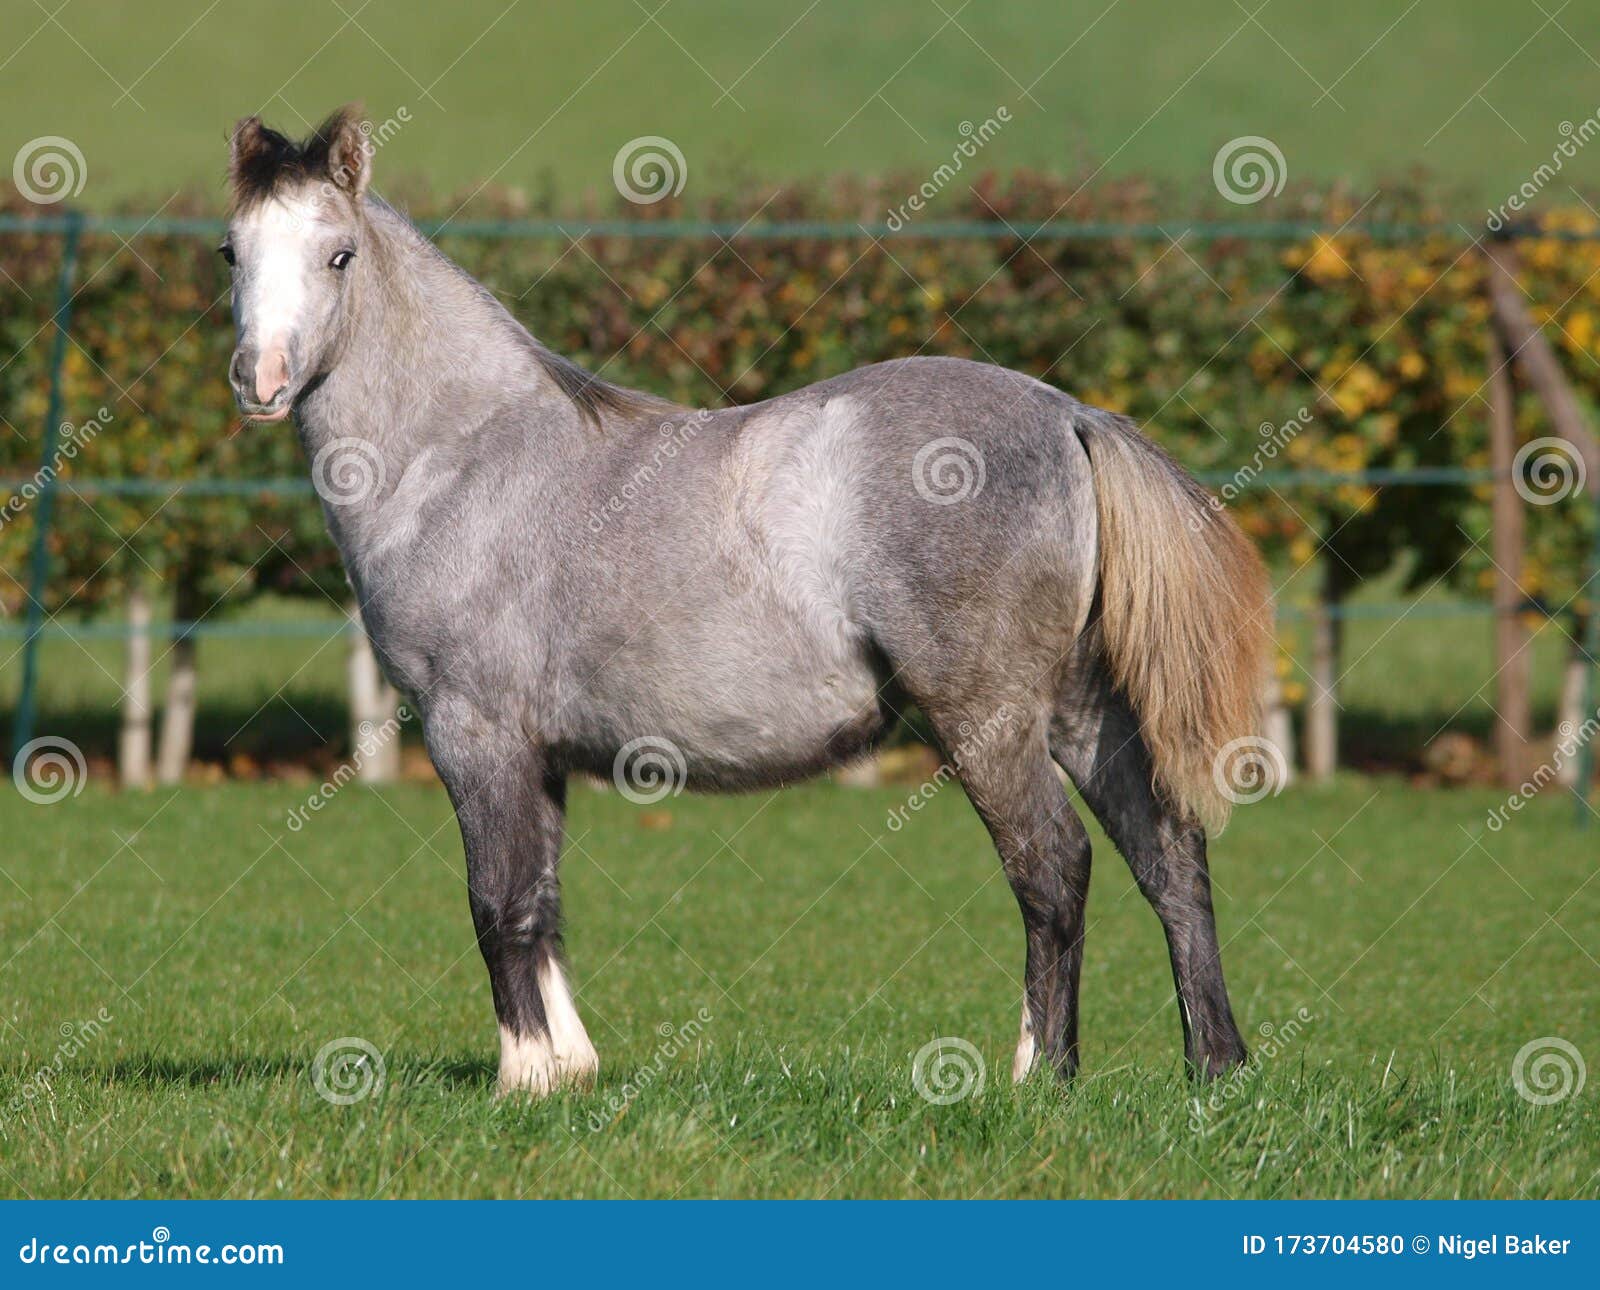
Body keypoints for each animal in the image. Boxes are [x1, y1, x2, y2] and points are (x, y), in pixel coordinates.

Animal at [220, 107, 1271, 1096]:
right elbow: (544, 900)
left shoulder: (472, 730)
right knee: (1168, 857)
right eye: (232, 252)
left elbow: (498, 902)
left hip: (991, 717)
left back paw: (1037, 1077)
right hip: (1082, 710)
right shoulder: (541, 752)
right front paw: (570, 1071)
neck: (467, 454)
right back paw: (1214, 1067)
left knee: (1054, 868)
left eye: (340, 254)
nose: (259, 379)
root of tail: (1068, 415)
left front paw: (522, 1078)